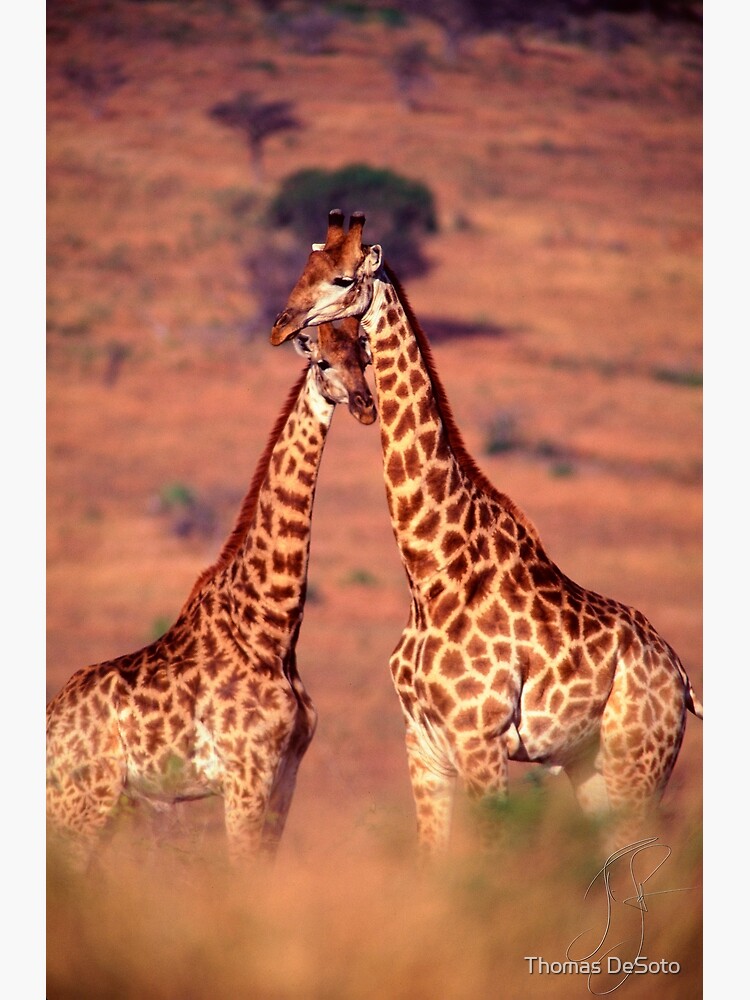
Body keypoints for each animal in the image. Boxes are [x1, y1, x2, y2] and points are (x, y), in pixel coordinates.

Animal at [46, 319, 376, 870]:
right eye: (322, 362)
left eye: (366, 358)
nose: (365, 404)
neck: (272, 630)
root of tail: (51, 721)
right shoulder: (246, 775)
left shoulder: (285, 776)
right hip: (82, 798)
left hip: (105, 804)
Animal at [270, 209, 703, 857]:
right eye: (306, 265)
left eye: (345, 279)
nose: (280, 326)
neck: (430, 573)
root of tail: (680, 676)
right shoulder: (423, 745)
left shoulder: (481, 740)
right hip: (589, 763)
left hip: (639, 759)